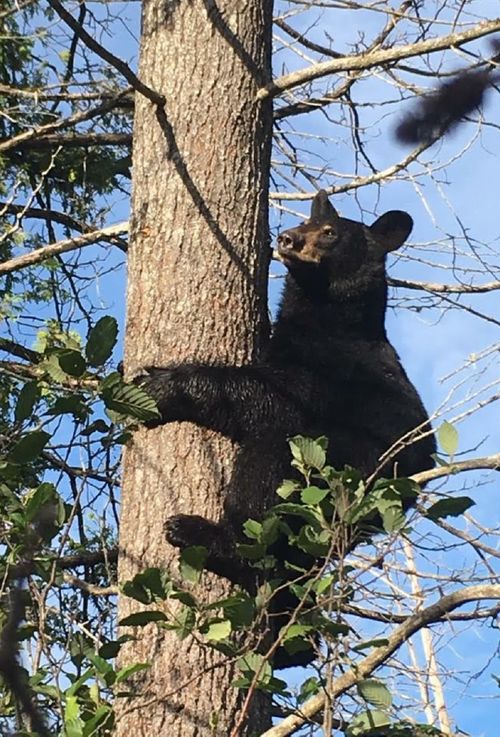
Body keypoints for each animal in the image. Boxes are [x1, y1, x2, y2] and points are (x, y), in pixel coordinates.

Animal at [135, 190, 436, 665]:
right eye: (309, 222)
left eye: (329, 232)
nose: (288, 238)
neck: (327, 319)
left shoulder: (330, 376)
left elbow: (268, 399)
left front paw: (163, 385)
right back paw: (294, 639)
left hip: (344, 466)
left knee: (270, 466)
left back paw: (206, 534)